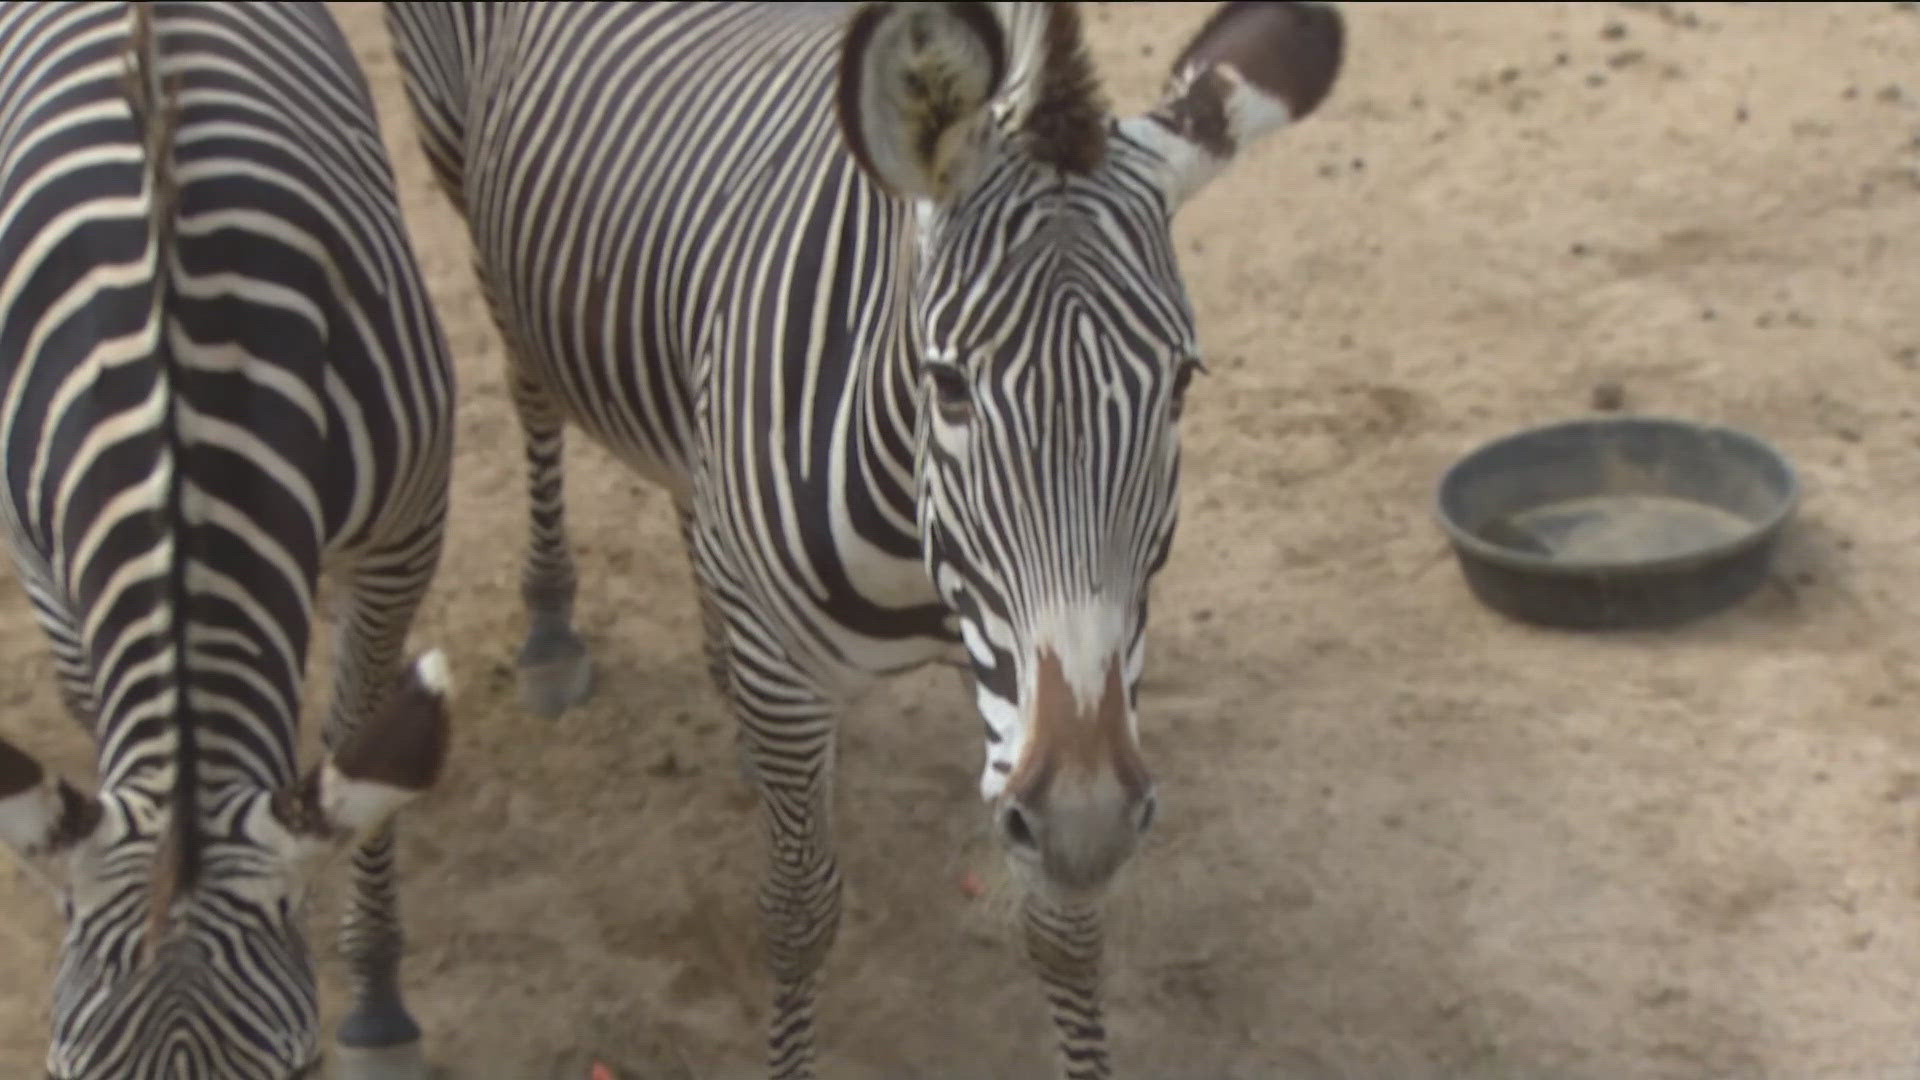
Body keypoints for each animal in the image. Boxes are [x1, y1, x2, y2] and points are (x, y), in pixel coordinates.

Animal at [0, 3, 457, 1078]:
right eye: (60, 1072)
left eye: (306, 1065)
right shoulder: (45, 566)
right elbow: (95, 713)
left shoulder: (407, 529)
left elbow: (352, 727)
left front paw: (376, 990)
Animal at [383, 1, 1342, 1076]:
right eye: (949, 385)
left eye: (1180, 383)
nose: (1087, 825)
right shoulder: (818, 677)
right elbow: (800, 915)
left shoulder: (1048, 688)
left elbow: (1064, 927)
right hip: (459, 171)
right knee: (529, 387)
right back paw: (552, 626)